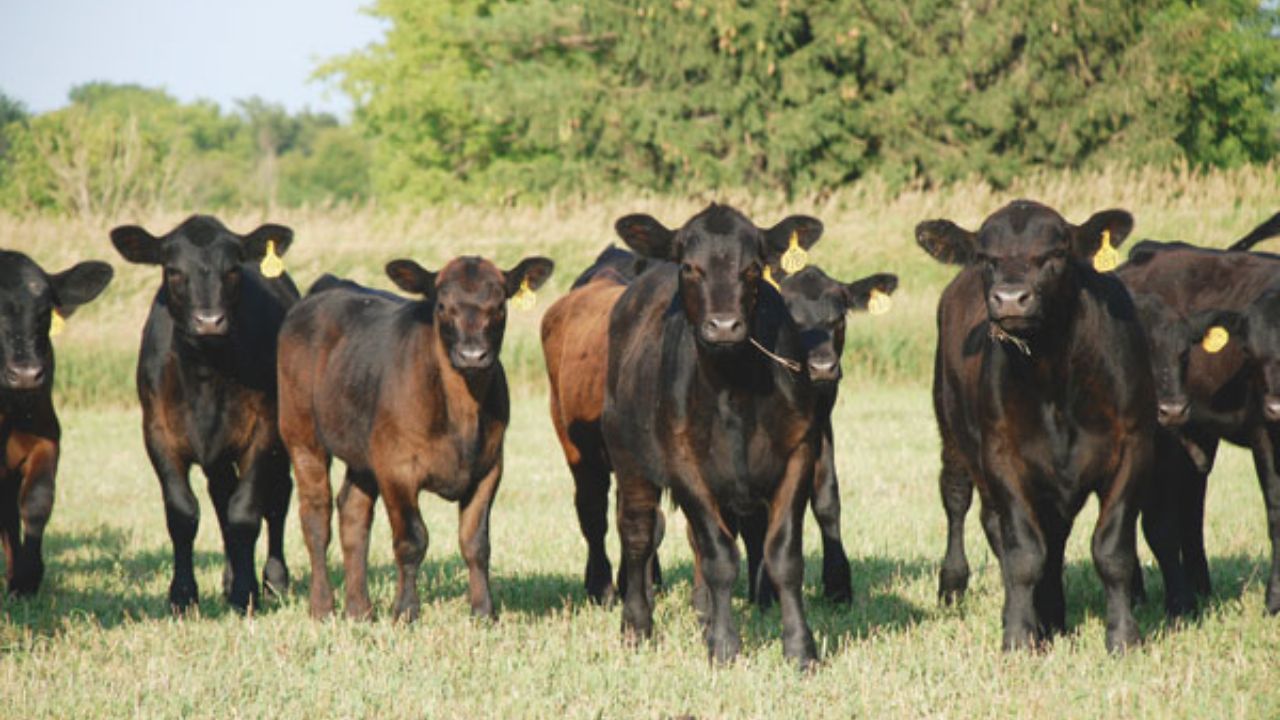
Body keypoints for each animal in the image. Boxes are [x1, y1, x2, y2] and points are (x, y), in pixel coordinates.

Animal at [110, 216, 297, 613]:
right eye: (173, 271)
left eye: (233, 270)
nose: (209, 321)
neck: (206, 374)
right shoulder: (158, 434)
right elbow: (183, 512)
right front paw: (183, 595)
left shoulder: (264, 432)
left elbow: (245, 512)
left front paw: (246, 593)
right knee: (220, 496)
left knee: (277, 499)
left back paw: (275, 580)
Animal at [278, 255, 553, 622]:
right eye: (442, 306)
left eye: (499, 306)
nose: (473, 355)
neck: (462, 414)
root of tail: (329, 287)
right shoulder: (397, 469)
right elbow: (412, 540)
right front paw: (406, 611)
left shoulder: (489, 468)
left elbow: (476, 543)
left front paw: (484, 611)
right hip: (302, 436)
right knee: (316, 517)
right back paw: (323, 606)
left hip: (363, 453)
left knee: (353, 513)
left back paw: (359, 609)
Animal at [602, 203, 826, 667]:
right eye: (690, 267)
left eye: (753, 268)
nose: (724, 326)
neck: (734, 390)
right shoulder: (683, 462)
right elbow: (720, 556)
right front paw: (724, 647)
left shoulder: (799, 453)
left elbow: (784, 556)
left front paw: (800, 649)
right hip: (628, 459)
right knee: (637, 534)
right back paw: (636, 625)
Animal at [918, 199, 1191, 652]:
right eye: (986, 257)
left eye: (1055, 254)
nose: (1010, 298)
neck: (1054, 379)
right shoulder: (1003, 456)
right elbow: (1024, 554)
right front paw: (1018, 636)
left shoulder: (1133, 448)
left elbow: (1111, 550)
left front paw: (1123, 637)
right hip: (952, 436)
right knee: (960, 502)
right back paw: (959, 587)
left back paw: (1054, 618)